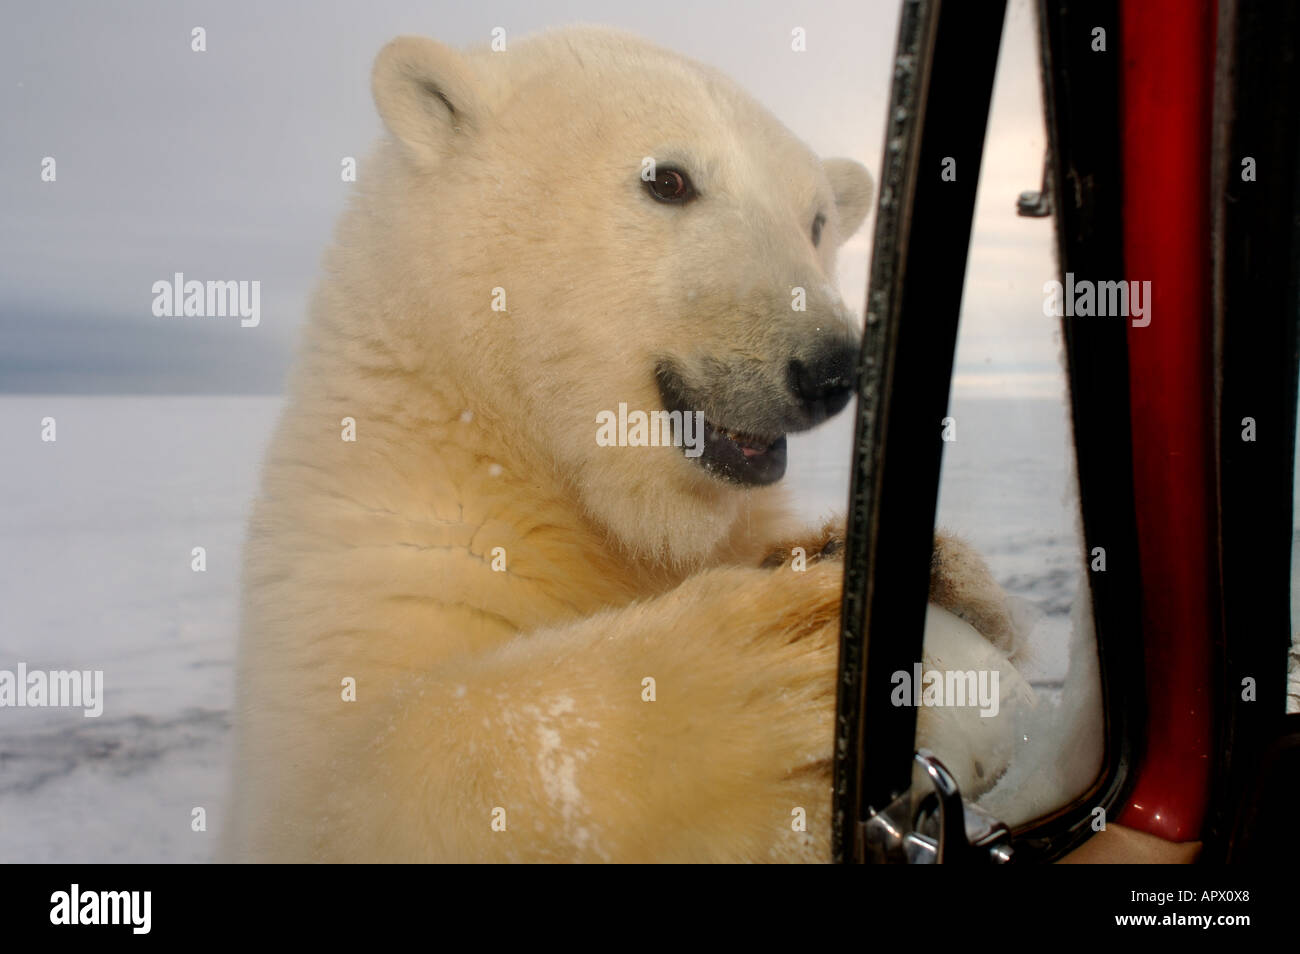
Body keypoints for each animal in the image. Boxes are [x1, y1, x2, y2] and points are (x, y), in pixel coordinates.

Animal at [225, 25, 1028, 863]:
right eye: (668, 180)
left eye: (816, 220)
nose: (833, 366)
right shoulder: (381, 558)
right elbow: (346, 784)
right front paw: (761, 687)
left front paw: (932, 570)